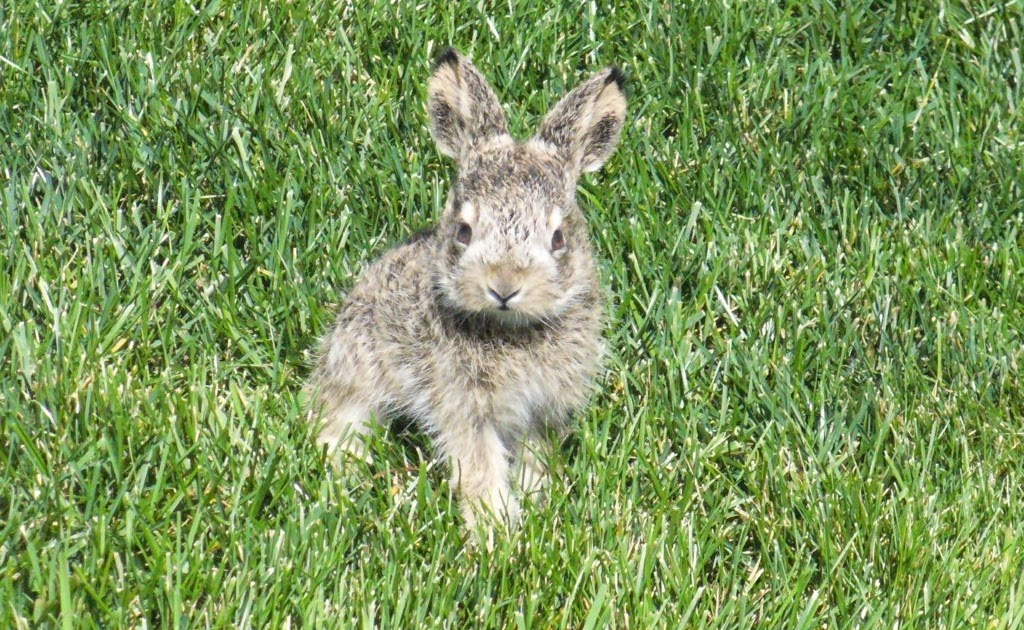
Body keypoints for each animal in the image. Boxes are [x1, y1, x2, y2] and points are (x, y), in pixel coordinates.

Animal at [310, 47, 626, 534]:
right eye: (463, 230)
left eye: (558, 239)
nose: (504, 287)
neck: (512, 332)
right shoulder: (463, 405)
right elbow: (478, 464)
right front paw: (497, 531)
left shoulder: (540, 412)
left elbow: (533, 456)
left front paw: (534, 504)